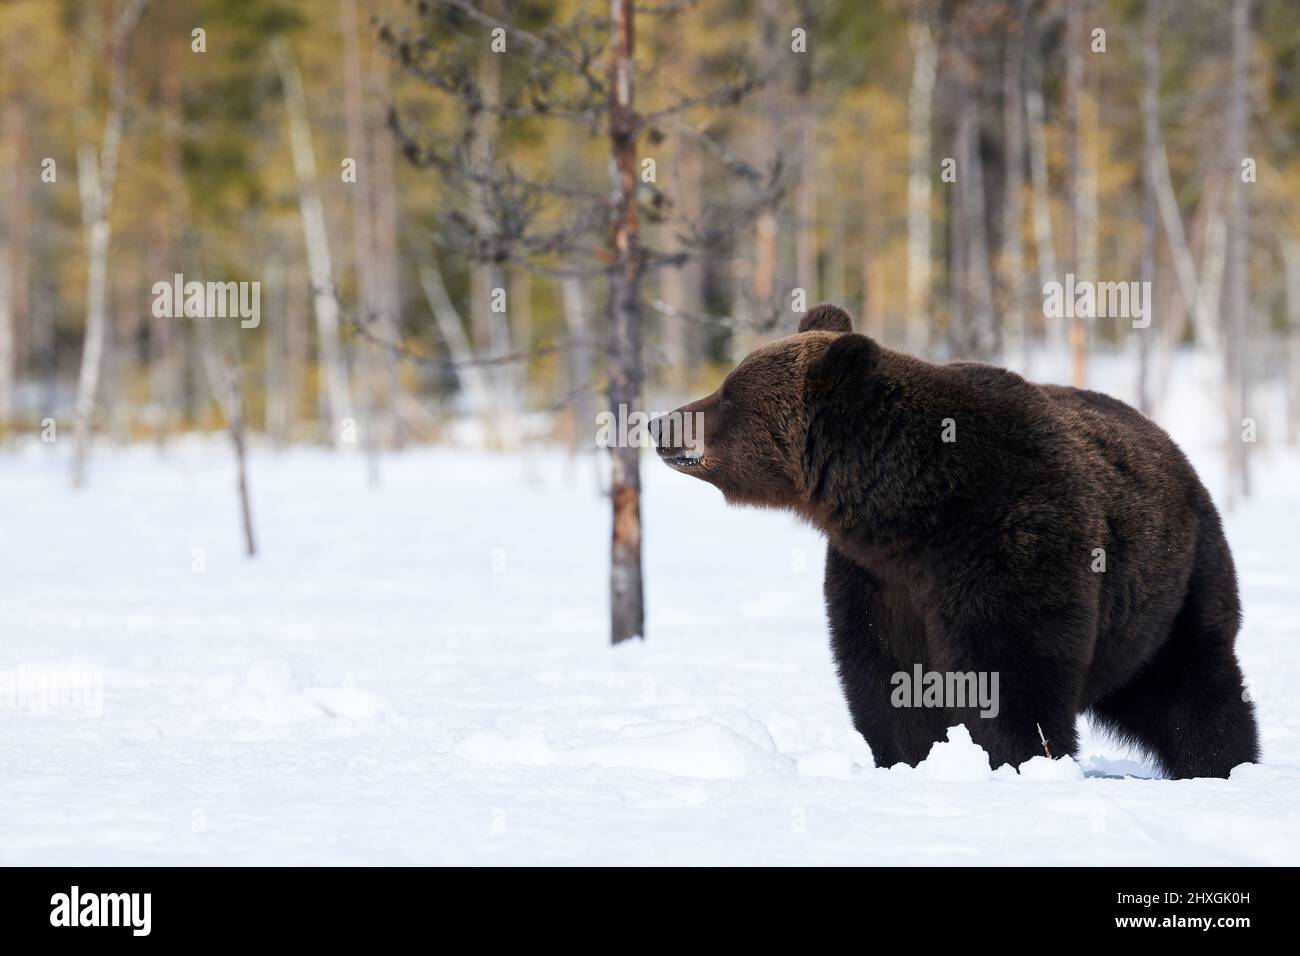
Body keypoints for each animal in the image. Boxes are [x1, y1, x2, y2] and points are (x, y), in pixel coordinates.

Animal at [650, 303, 1259, 779]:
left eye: (730, 394)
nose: (660, 424)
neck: (910, 513)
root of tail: (1173, 447)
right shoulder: (876, 579)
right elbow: (886, 677)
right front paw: (911, 759)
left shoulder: (1009, 541)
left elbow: (1012, 669)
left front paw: (1018, 759)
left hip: (1176, 582)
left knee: (1196, 686)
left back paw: (1222, 765)